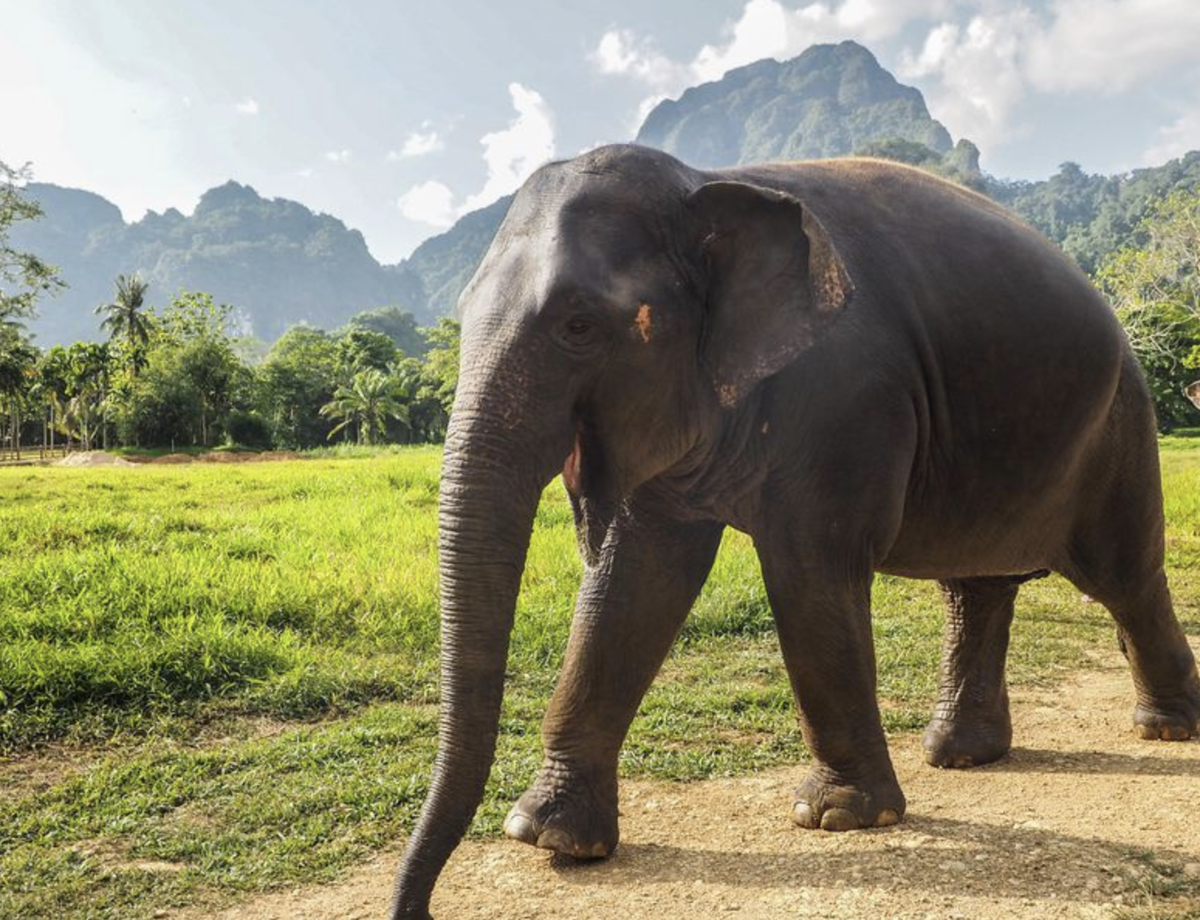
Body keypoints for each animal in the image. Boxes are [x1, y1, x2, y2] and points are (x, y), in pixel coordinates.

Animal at [388, 143, 1195, 920]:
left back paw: (1164, 729)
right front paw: (548, 837)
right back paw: (960, 754)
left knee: (1123, 576)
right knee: (978, 587)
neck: (705, 180)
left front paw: (837, 817)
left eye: (578, 325)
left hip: (1123, 420)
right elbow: (635, 579)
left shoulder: (845, 397)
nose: (418, 909)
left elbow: (809, 568)